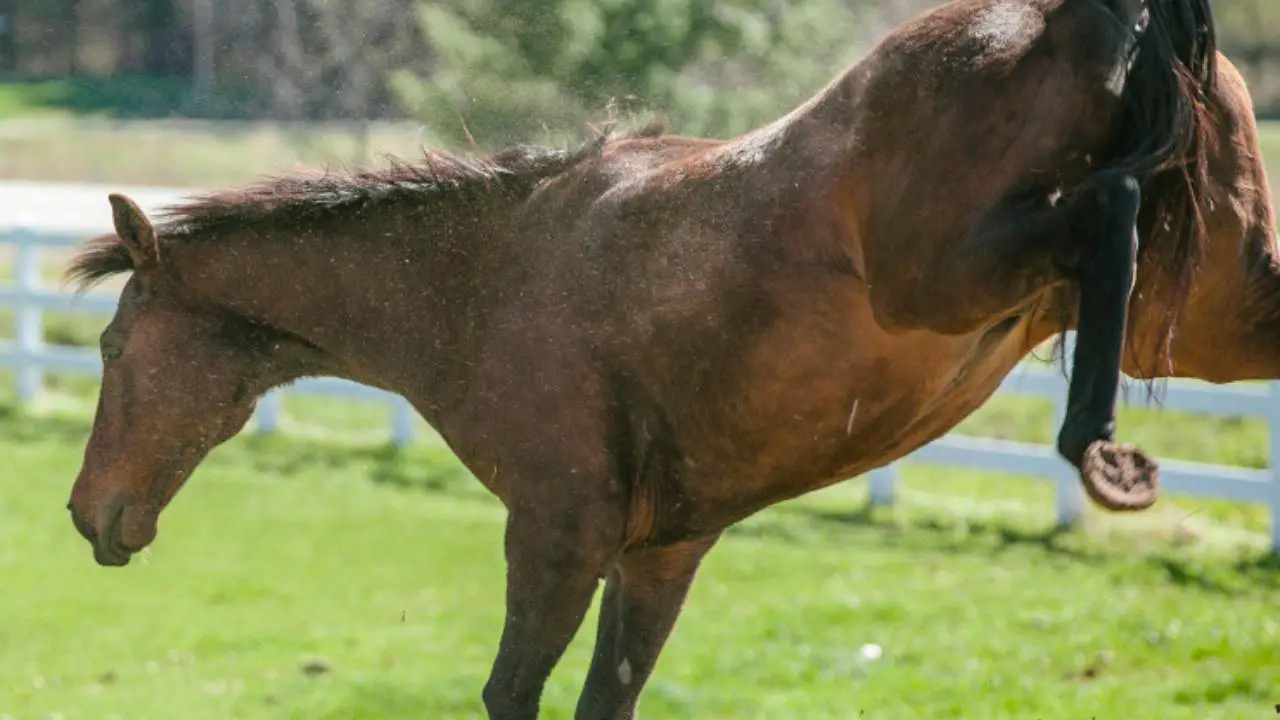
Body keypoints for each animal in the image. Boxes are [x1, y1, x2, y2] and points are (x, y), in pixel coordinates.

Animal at [64, 0, 1271, 717]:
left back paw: (1098, 448)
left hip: (951, 272)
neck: (492, 278)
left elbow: (512, 694)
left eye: (114, 345)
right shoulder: (659, 554)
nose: (87, 514)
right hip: (1222, 306)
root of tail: (1106, 12)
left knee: (1103, 214)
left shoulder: (555, 538)